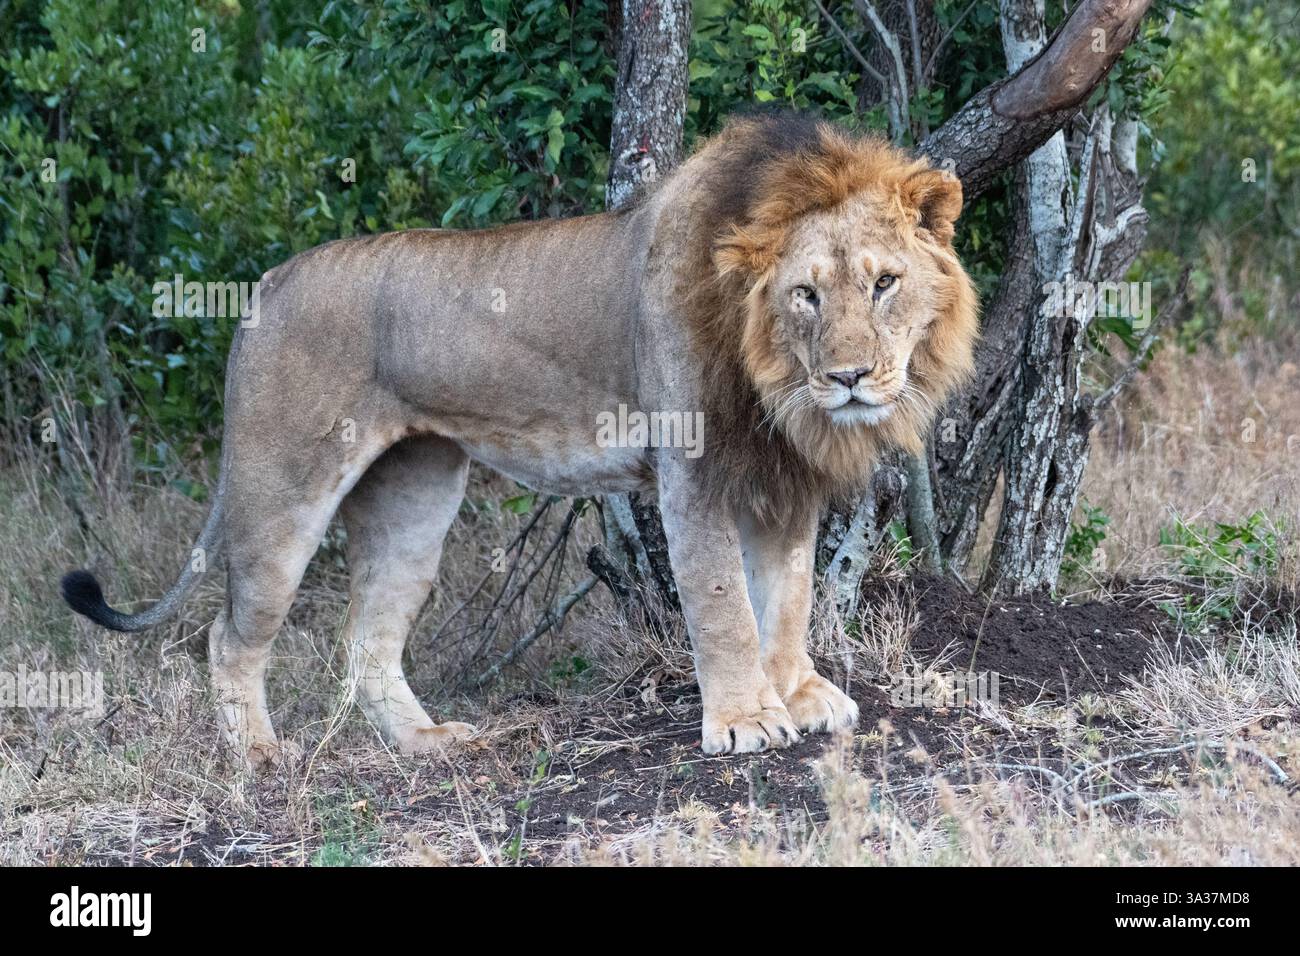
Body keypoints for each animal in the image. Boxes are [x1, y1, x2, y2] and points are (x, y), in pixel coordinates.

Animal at [62, 113, 978, 765]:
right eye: (805, 295)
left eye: (884, 283)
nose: (850, 378)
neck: (776, 382)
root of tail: (263, 288)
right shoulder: (693, 468)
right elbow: (723, 601)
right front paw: (747, 720)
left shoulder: (782, 479)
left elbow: (786, 598)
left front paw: (800, 697)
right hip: (280, 490)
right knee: (230, 635)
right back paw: (259, 757)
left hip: (413, 497)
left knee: (365, 642)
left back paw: (425, 744)